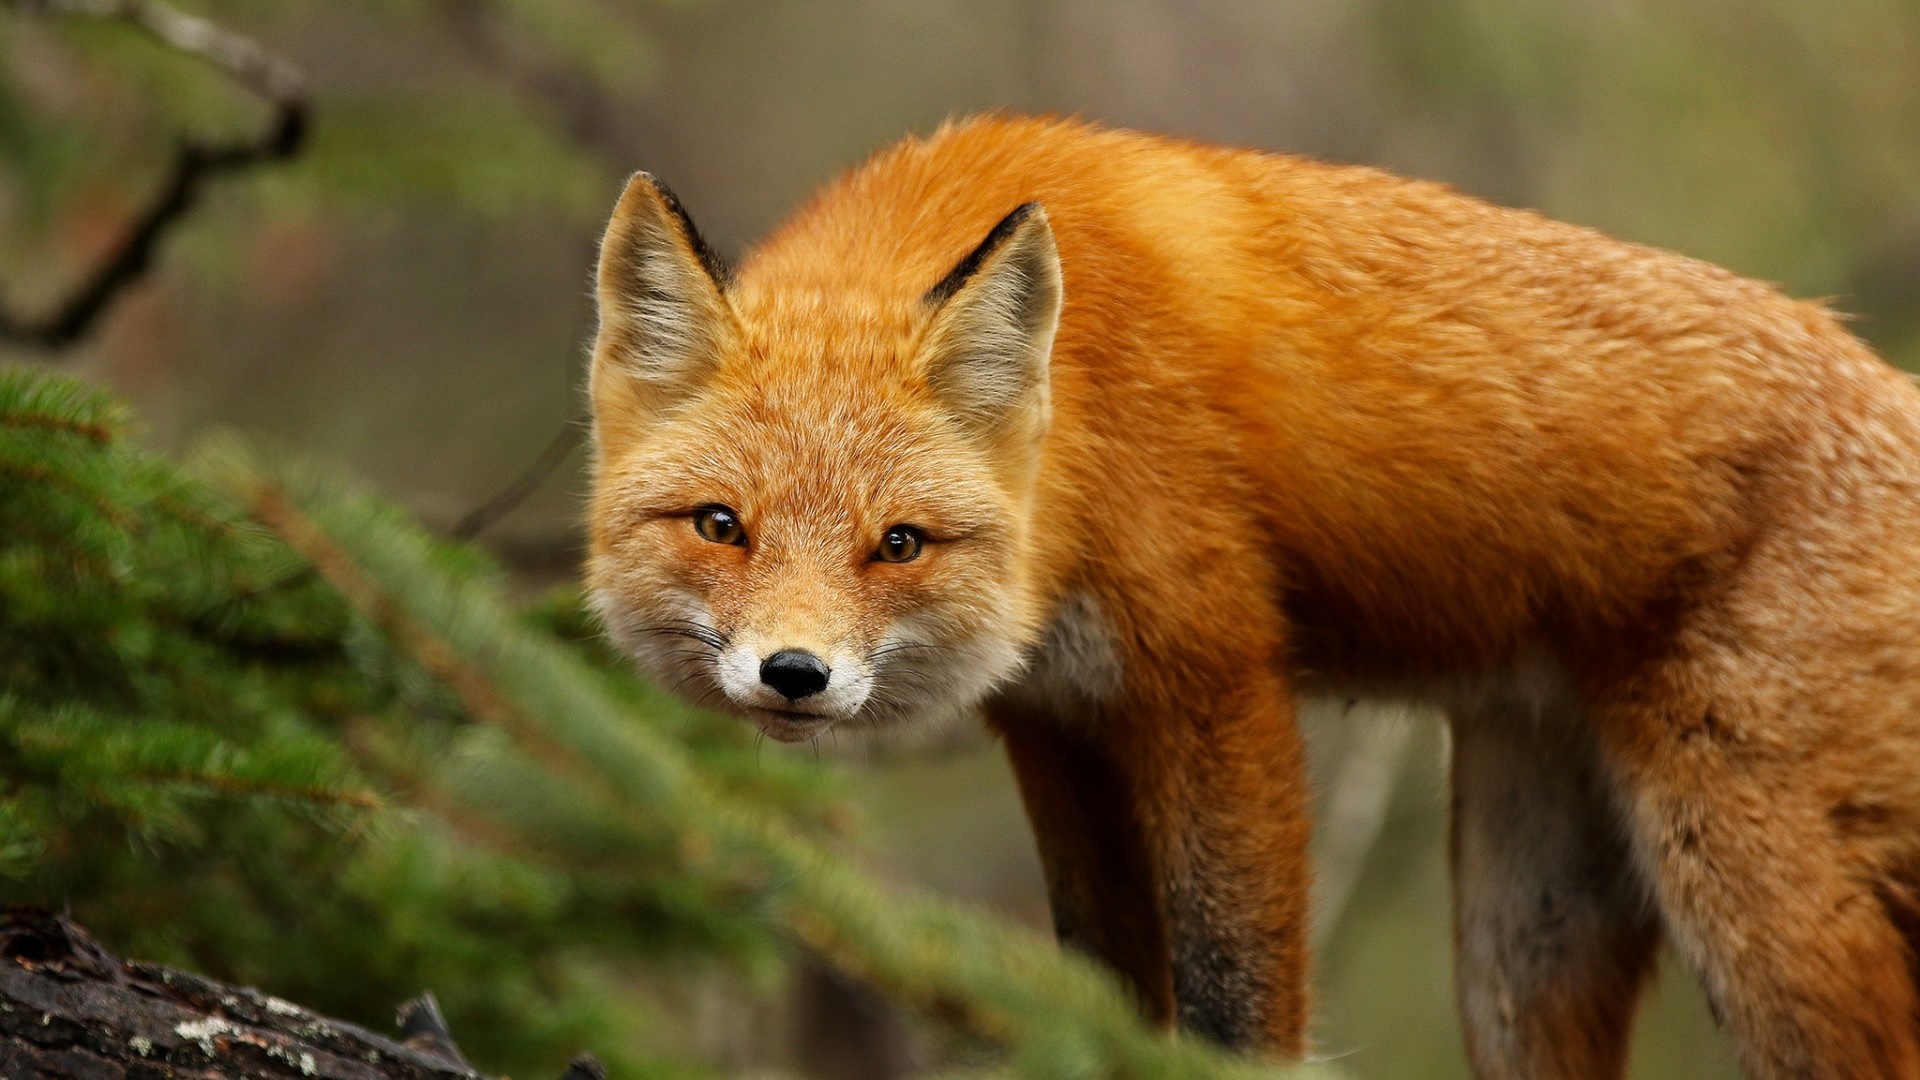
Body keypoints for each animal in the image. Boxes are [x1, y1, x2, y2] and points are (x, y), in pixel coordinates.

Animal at [584, 114, 1920, 1078]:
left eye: (897, 545)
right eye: (722, 526)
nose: (794, 676)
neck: (1081, 425)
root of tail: (1888, 383)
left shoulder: (1218, 686)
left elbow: (1233, 1008)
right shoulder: (1060, 723)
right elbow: (1110, 995)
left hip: (1755, 899)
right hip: (1525, 916)